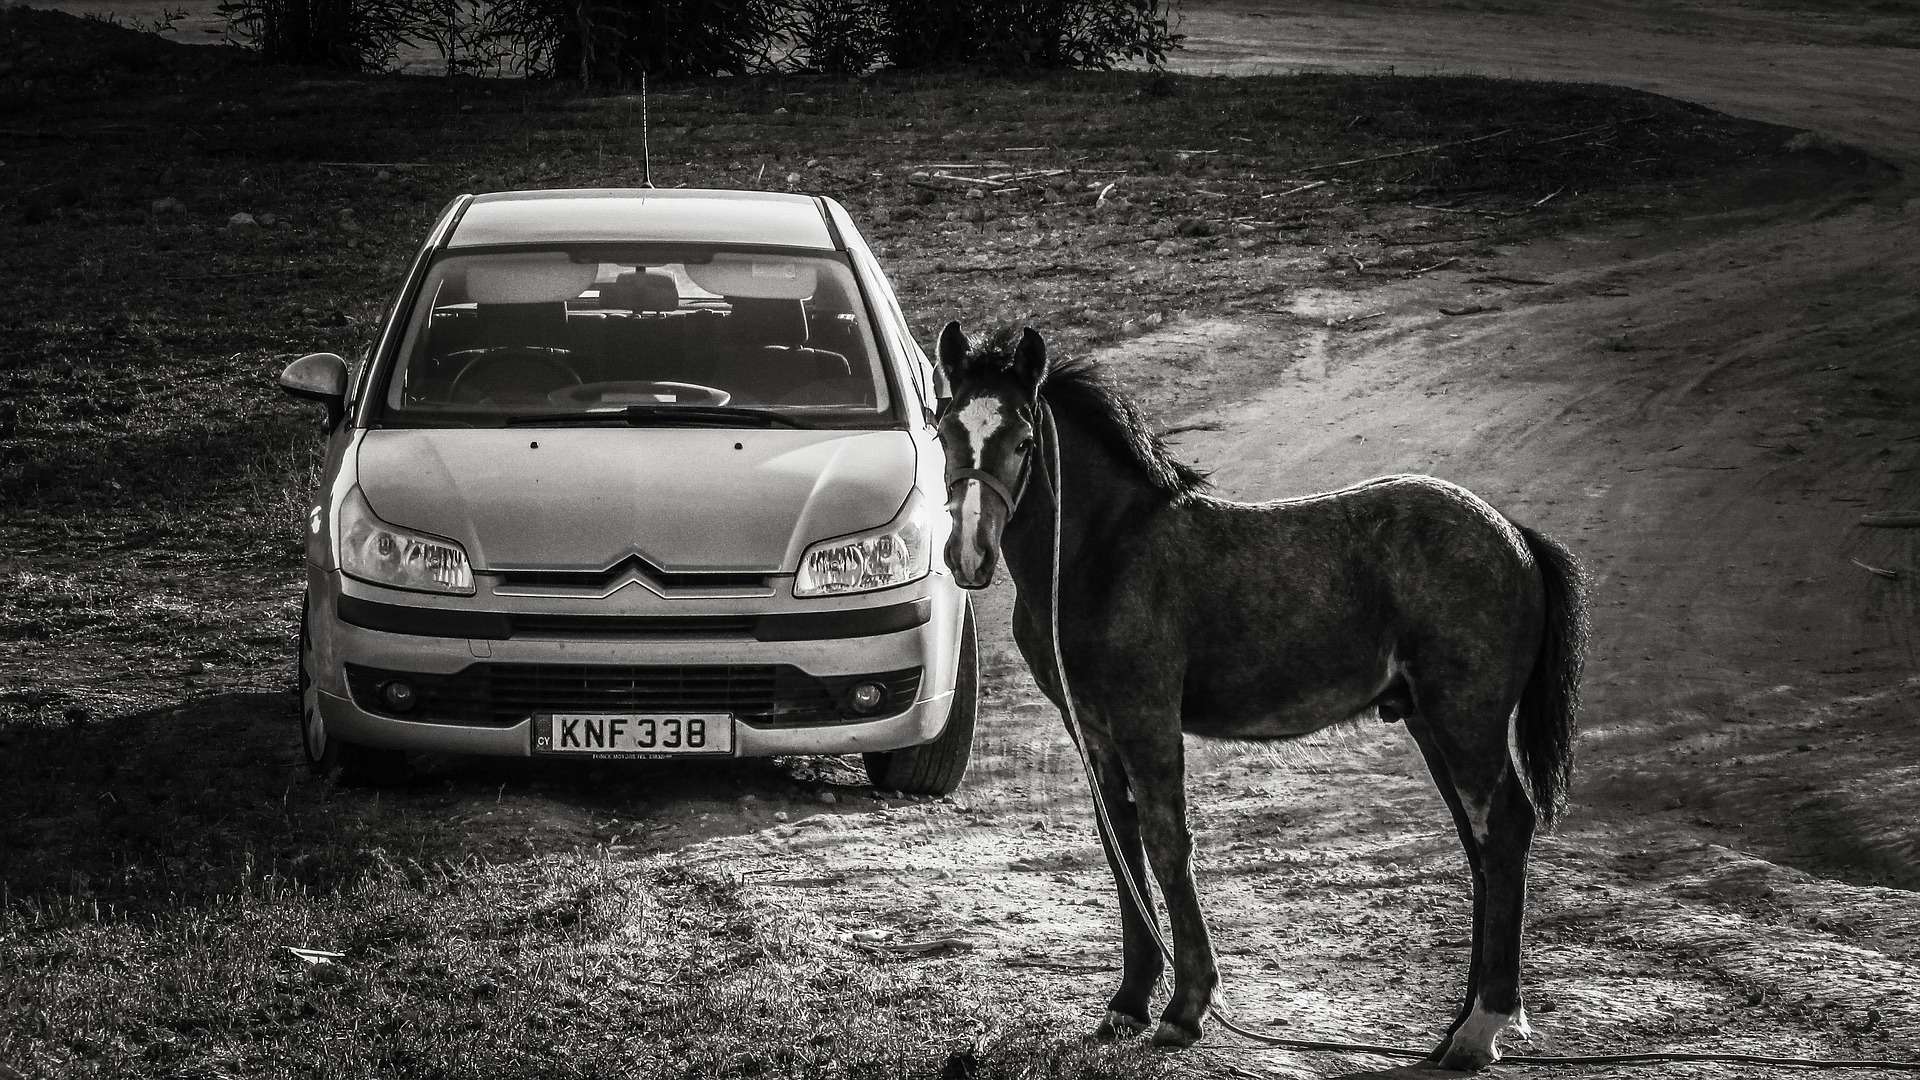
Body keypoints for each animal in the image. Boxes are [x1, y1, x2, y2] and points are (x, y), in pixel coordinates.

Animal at [933, 322, 1588, 1071]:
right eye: (945, 430)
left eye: (1022, 440)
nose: (969, 556)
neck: (1106, 554)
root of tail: (1515, 536)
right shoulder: (1091, 728)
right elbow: (1118, 845)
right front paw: (1127, 1003)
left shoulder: (1146, 718)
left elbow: (1164, 842)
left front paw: (1185, 1010)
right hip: (1430, 721)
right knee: (1478, 843)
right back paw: (1457, 1028)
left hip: (1467, 718)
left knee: (1502, 829)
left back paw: (1482, 1028)